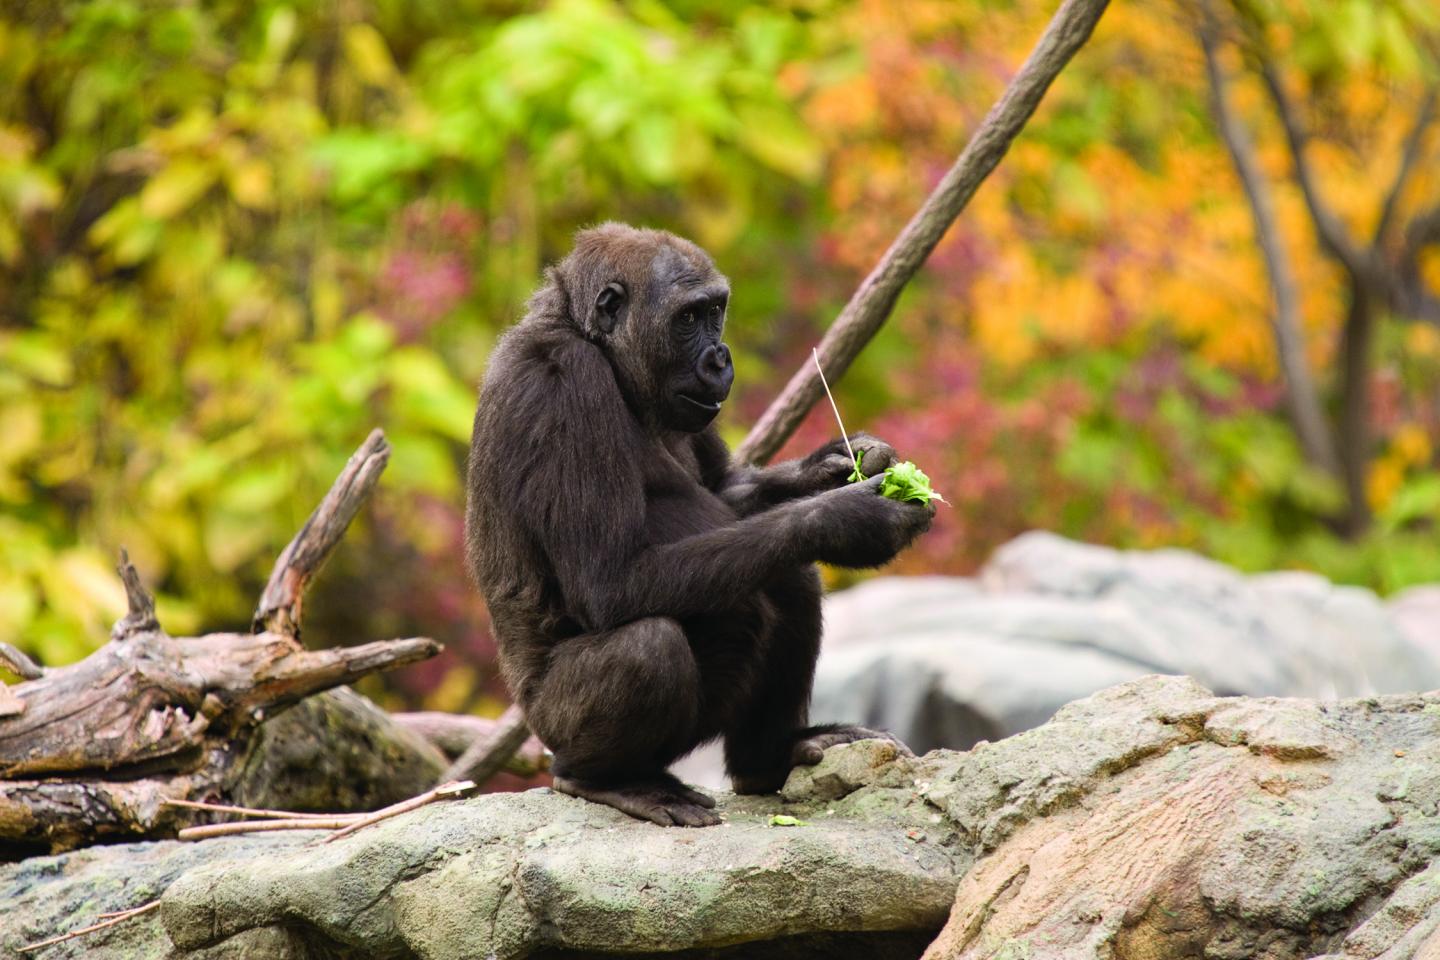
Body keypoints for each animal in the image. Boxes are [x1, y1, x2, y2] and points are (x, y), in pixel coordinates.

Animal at [465, 223, 933, 826]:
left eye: (716, 311)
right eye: (687, 318)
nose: (719, 359)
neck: (592, 341)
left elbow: (728, 493)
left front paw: (838, 464)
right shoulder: (564, 380)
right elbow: (608, 582)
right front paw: (845, 519)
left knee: (786, 575)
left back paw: (767, 755)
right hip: (549, 727)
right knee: (649, 647)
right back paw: (609, 779)